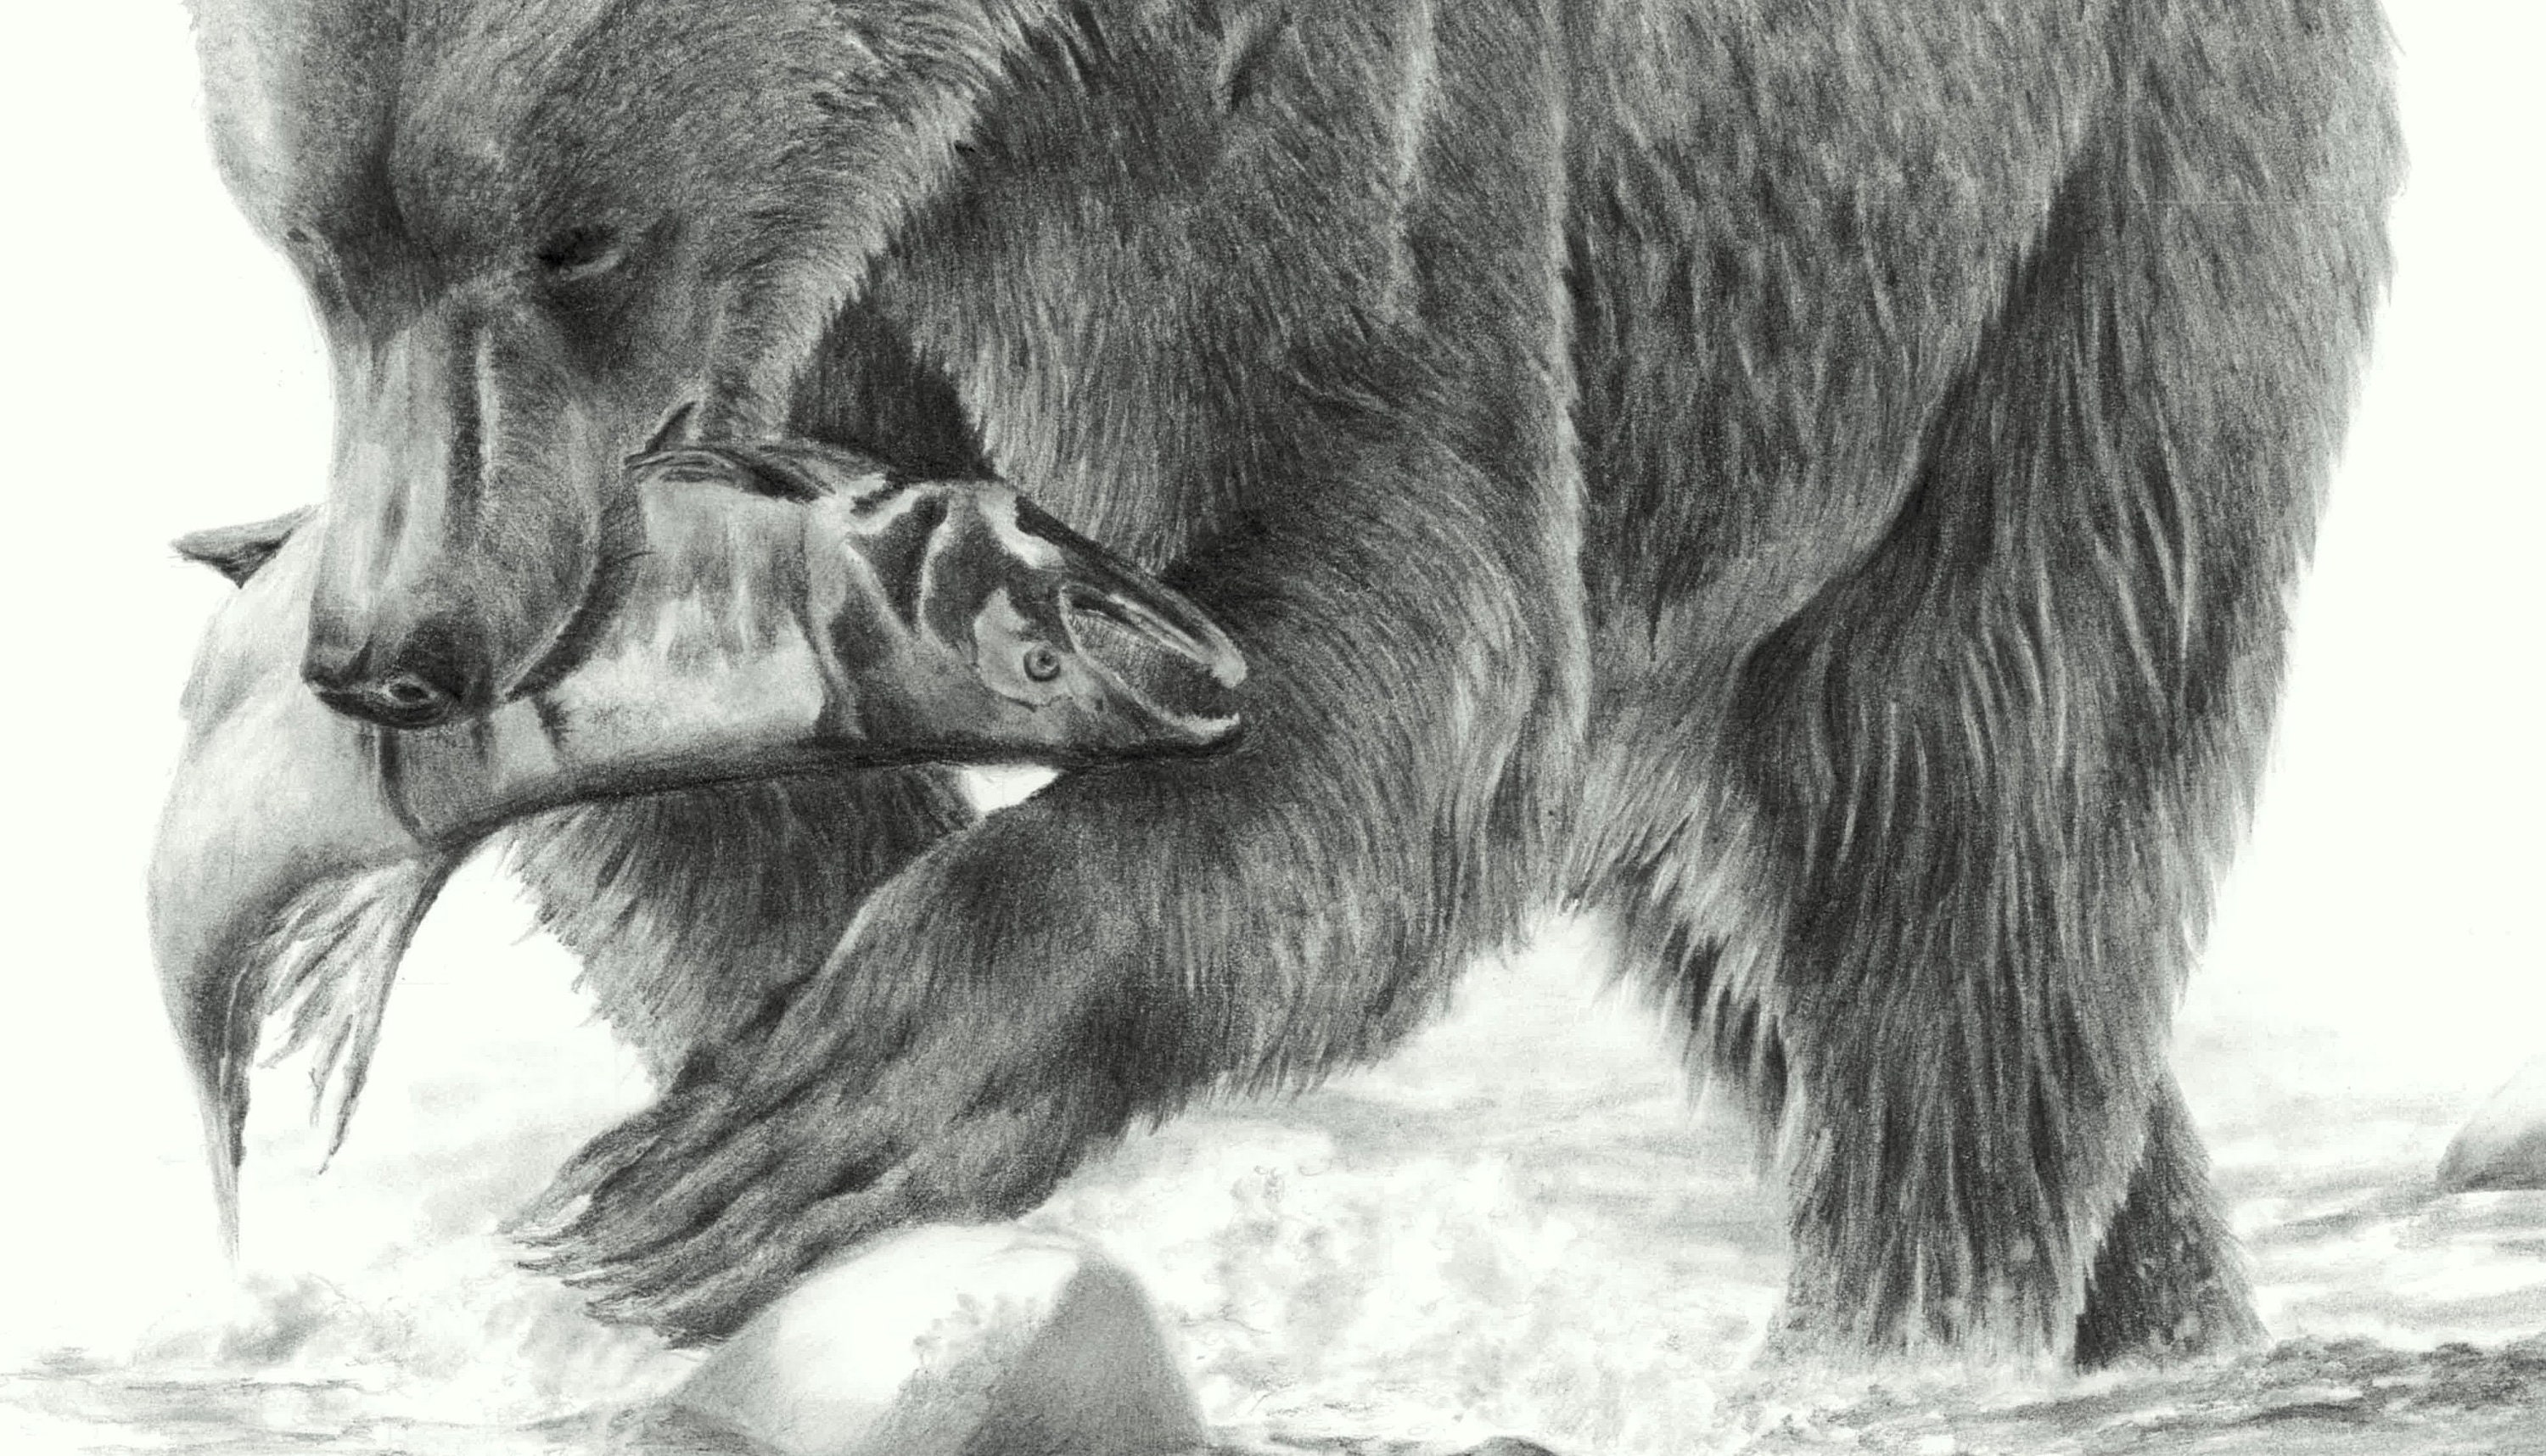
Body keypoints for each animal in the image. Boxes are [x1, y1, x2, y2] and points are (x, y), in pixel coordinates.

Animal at [183, 0, 2402, 1364]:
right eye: (315, 247)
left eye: (577, 237)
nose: (393, 651)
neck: (957, 116)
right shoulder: (819, 323)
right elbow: (696, 797)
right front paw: (735, 1137)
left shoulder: (1280, 131)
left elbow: (1403, 621)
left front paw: (838, 1099)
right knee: (1761, 926)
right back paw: (2162, 1310)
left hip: (2079, 233)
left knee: (1989, 819)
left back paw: (1889, 1338)